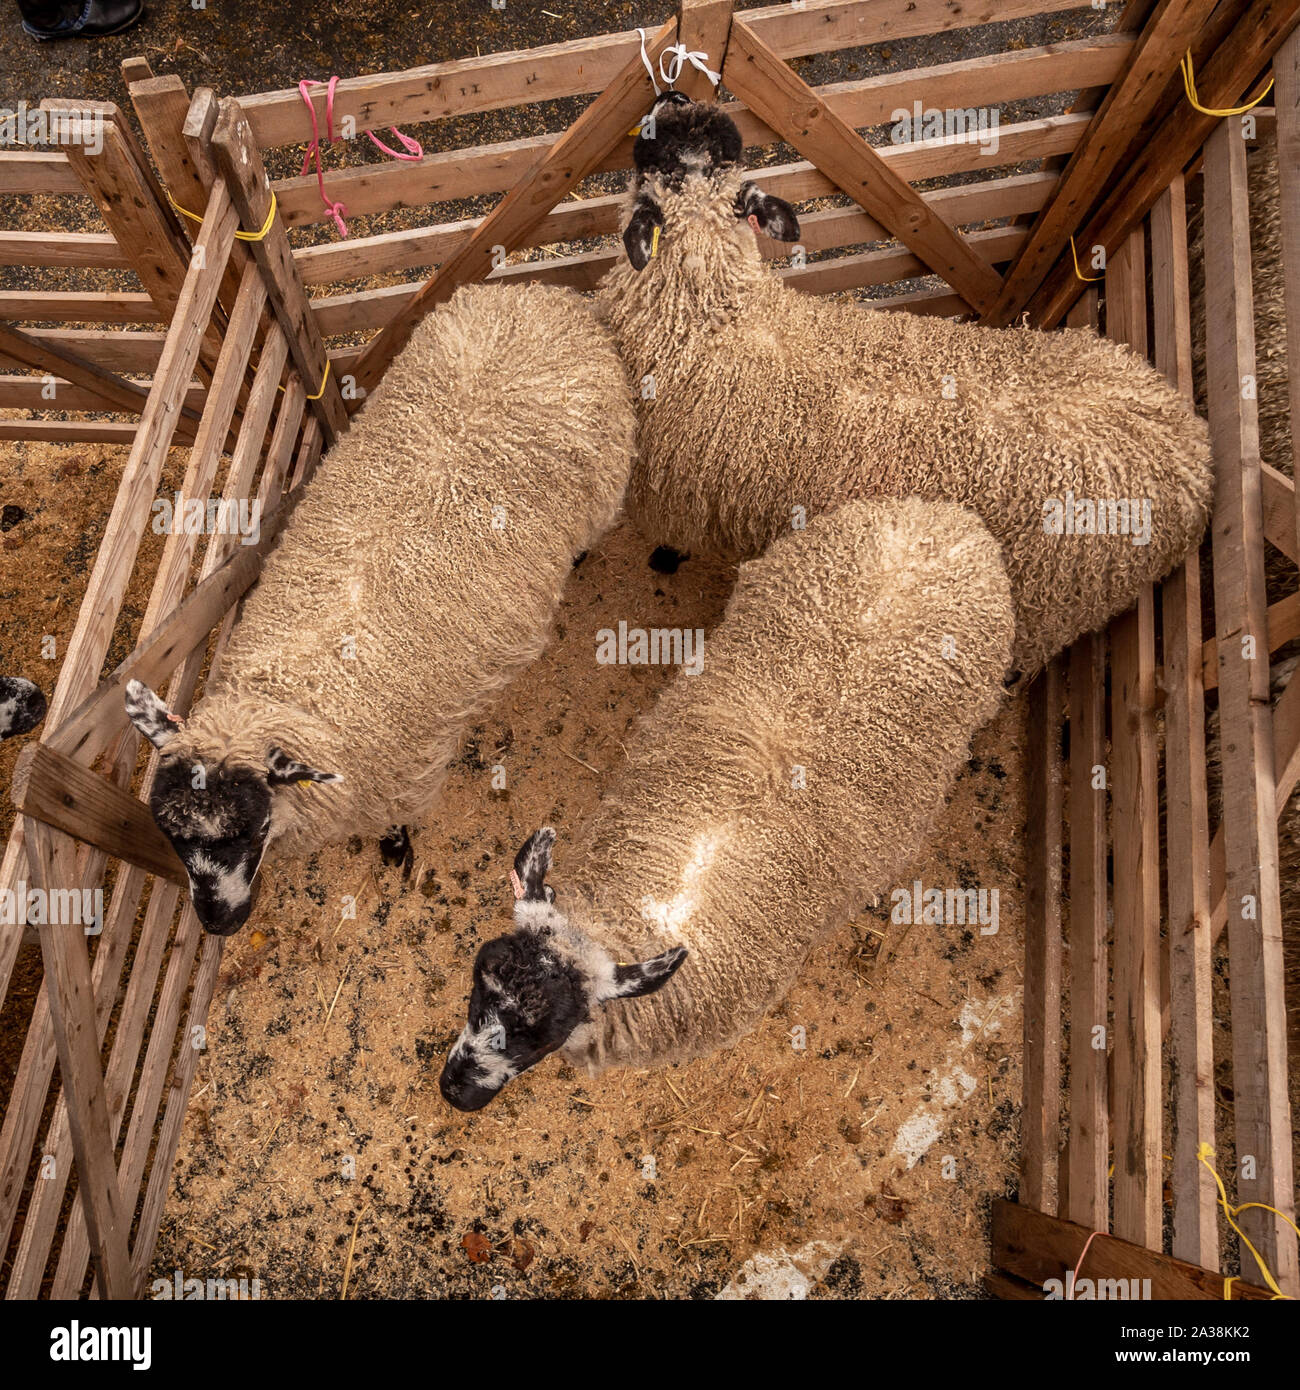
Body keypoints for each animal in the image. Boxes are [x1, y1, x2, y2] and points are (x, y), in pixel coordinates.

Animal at [125, 282, 635, 936]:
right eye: (173, 839)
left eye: (256, 829)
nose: (217, 924)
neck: (299, 694)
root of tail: (545, 298)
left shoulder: (401, 777)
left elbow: (395, 823)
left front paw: (396, 849)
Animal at [595, 91, 1214, 681]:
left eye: (653, 156)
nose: (672, 94)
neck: (710, 310)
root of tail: (1193, 455)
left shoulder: (683, 494)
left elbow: (672, 542)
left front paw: (663, 561)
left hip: (1053, 603)